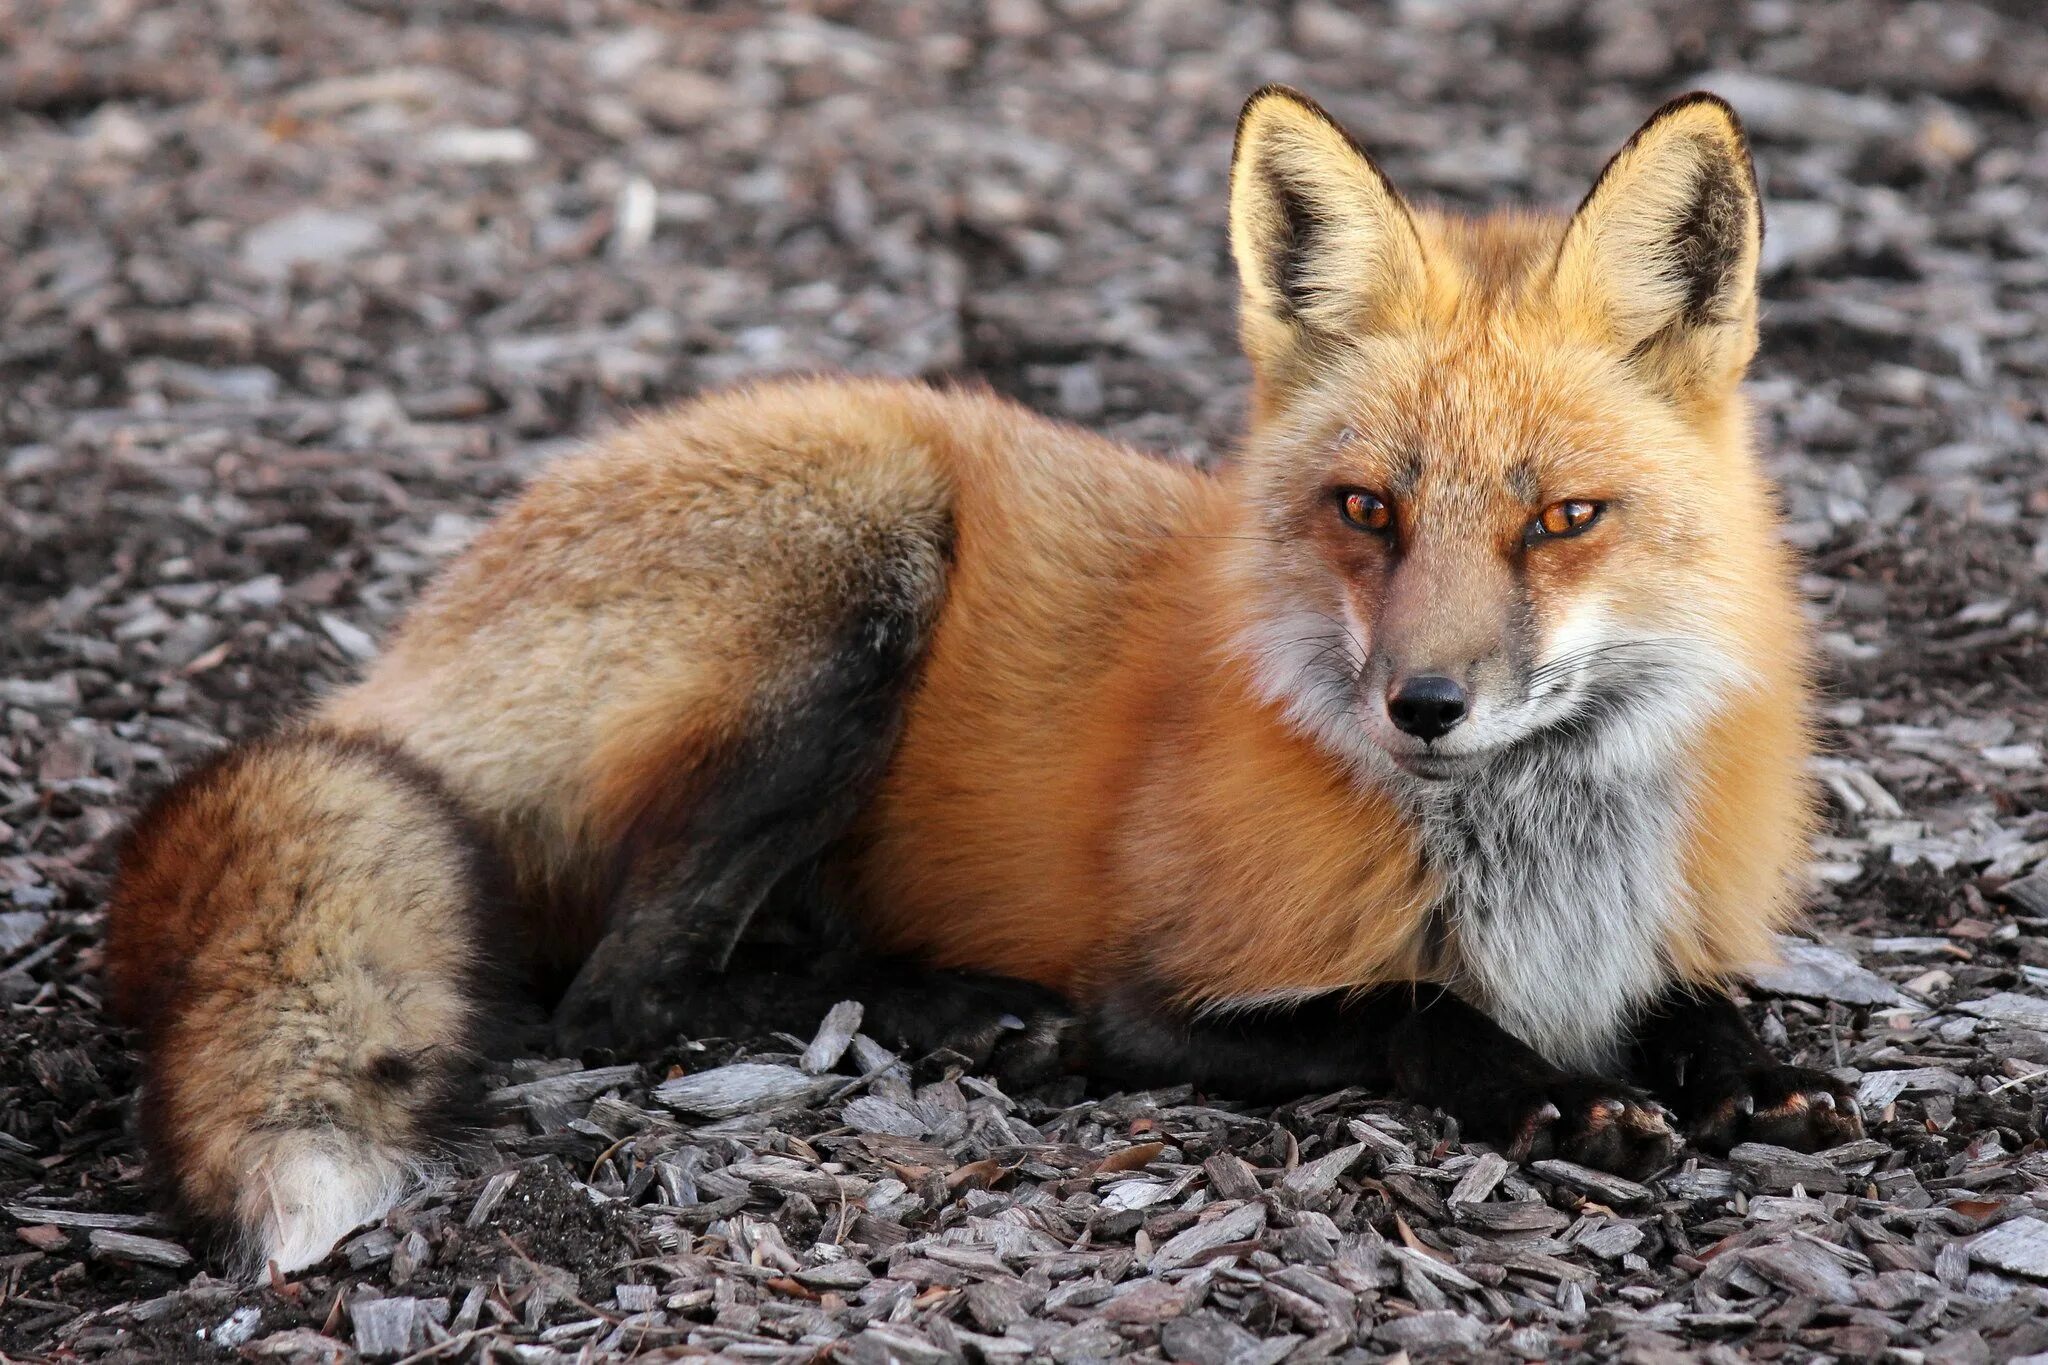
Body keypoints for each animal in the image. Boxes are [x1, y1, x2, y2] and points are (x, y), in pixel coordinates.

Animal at [106, 87, 1863, 1276]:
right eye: (1368, 509)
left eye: (1562, 519)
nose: (1422, 707)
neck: (1543, 865)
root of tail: (401, 652)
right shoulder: (1173, 988)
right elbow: (1418, 1010)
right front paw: (1555, 1097)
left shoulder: (1659, 936)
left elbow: (1707, 1002)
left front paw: (1752, 1069)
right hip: (865, 558)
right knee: (623, 994)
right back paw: (952, 1014)